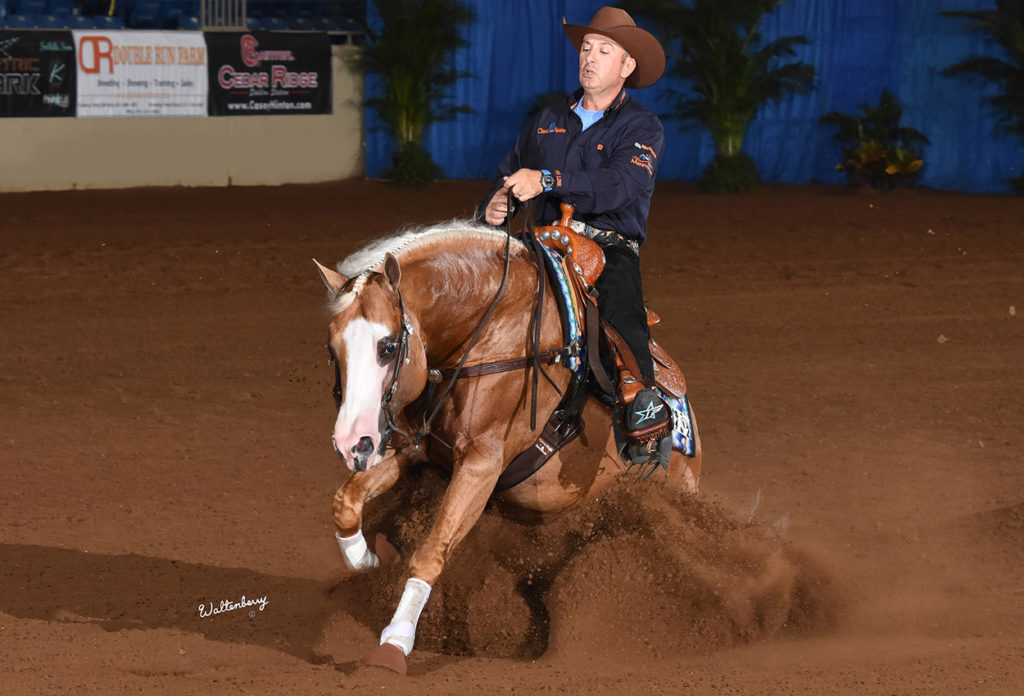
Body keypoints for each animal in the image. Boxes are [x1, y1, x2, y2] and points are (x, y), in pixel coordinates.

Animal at [314, 218, 701, 673]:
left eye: (388, 346)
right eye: (332, 348)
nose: (350, 442)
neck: (489, 333)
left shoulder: (481, 463)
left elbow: (432, 551)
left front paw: (395, 643)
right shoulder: (411, 449)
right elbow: (345, 504)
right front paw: (372, 561)